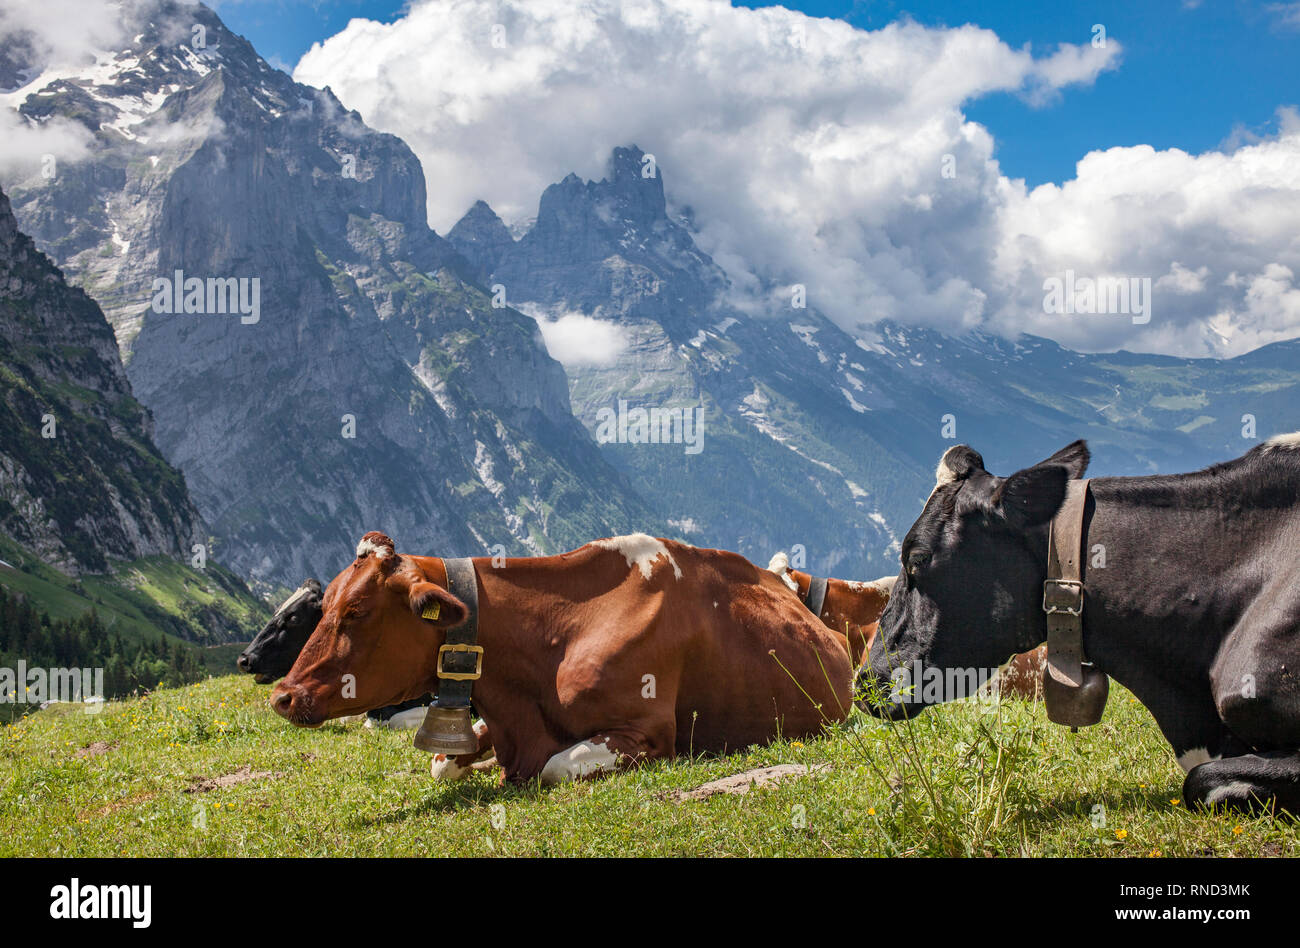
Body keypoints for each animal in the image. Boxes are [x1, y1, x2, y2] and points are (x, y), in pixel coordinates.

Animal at [271, 532, 854, 784]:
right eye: (324, 605)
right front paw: (482, 763)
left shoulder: (648, 734)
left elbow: (553, 767)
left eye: (357, 611)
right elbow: (442, 763)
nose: (282, 695)